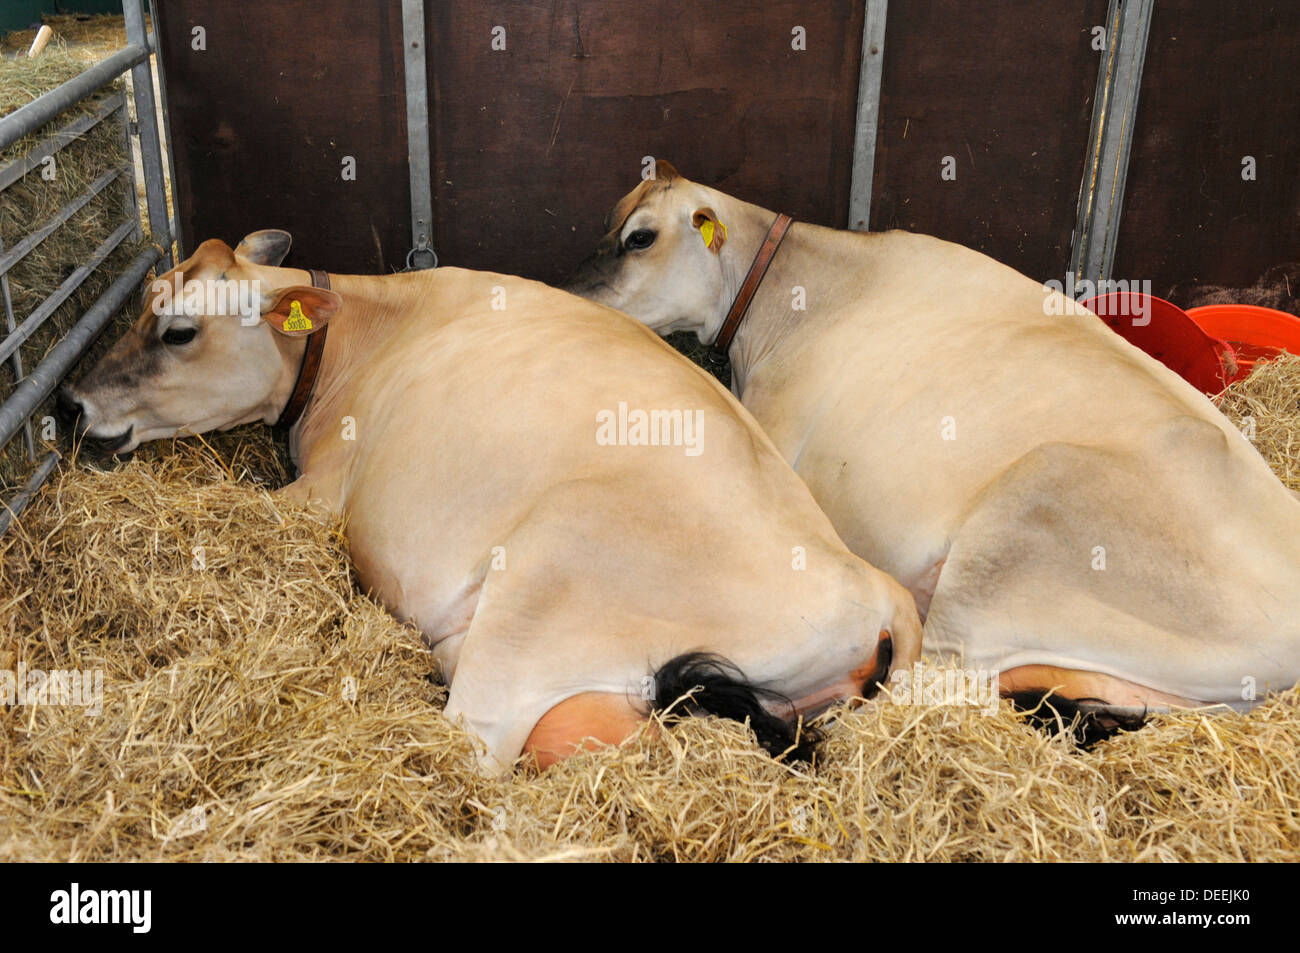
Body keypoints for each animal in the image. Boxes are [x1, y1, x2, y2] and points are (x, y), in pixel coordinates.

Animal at [59, 229, 922, 773]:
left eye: (177, 331)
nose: (68, 403)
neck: (366, 337)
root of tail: (875, 588)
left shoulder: (320, 492)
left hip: (544, 578)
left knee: (472, 749)